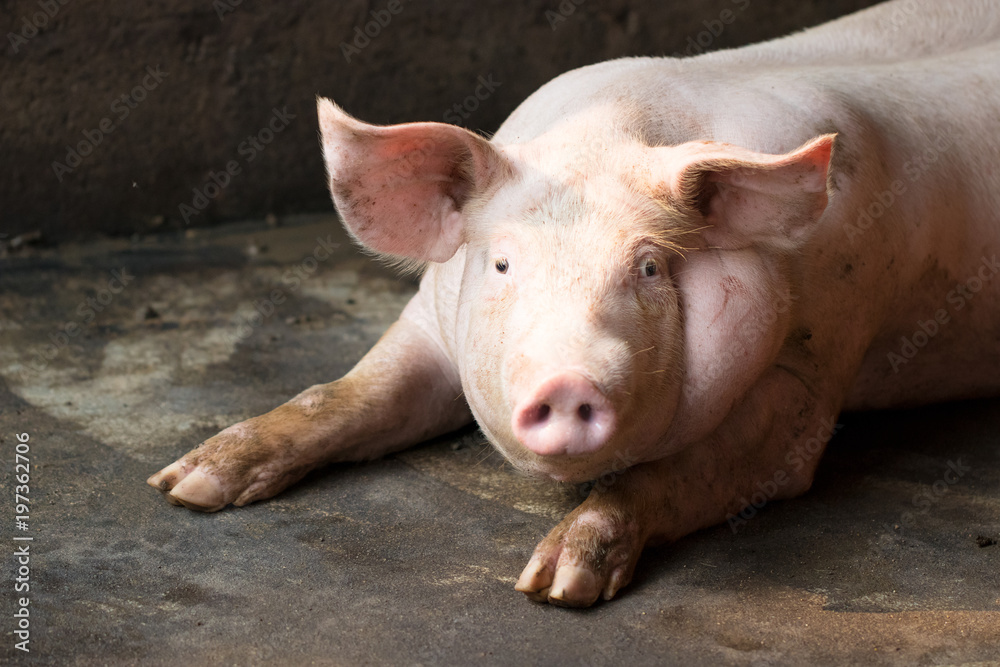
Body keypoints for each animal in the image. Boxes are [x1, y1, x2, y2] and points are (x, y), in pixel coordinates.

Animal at [149, 0, 1000, 607]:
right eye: (501, 262)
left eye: (650, 267)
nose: (566, 381)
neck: (606, 133)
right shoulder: (432, 322)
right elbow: (345, 394)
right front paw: (185, 487)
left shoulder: (812, 373)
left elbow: (676, 474)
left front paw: (554, 586)